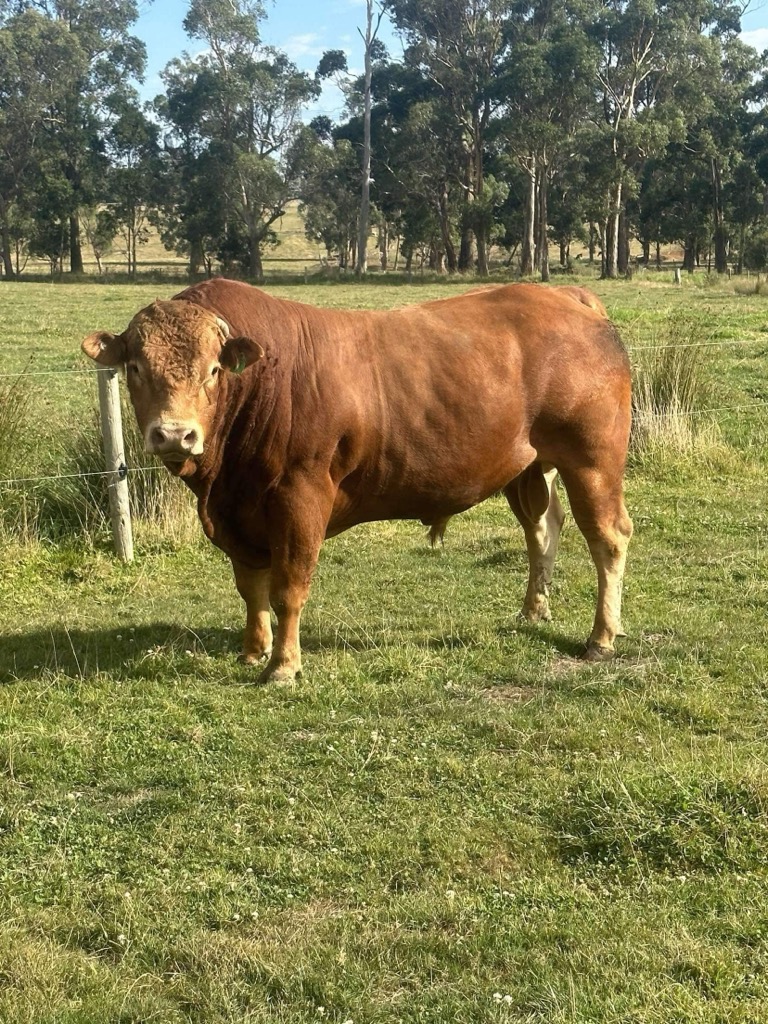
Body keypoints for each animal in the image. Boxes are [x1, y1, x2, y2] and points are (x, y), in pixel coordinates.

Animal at [81, 278, 633, 684]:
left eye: (214, 369)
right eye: (135, 367)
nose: (175, 434)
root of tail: (565, 296)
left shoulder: (300, 499)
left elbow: (288, 588)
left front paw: (283, 665)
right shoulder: (237, 513)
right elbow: (250, 587)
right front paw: (253, 650)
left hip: (592, 460)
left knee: (608, 537)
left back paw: (601, 637)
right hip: (529, 466)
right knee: (542, 529)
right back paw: (533, 611)